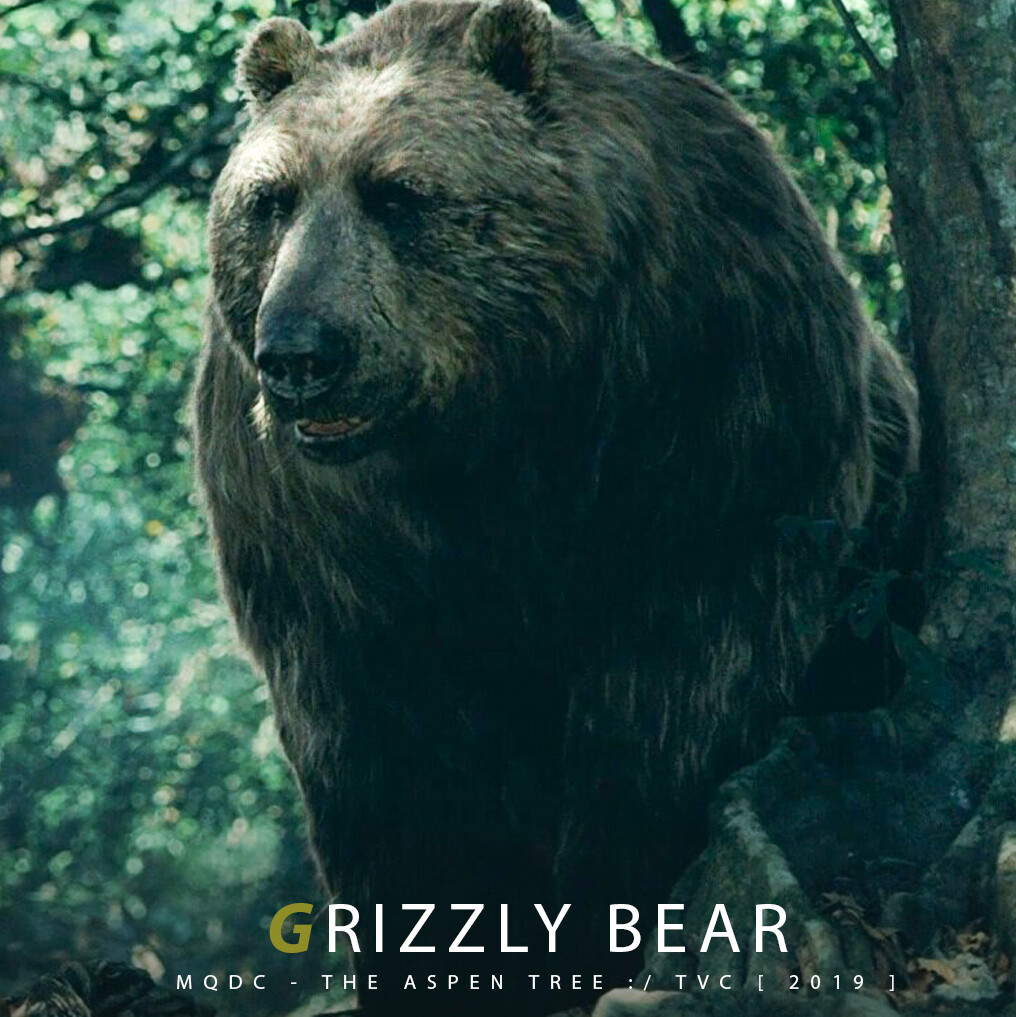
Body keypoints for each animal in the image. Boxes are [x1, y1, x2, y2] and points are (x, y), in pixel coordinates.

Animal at [193, 2, 919, 1013]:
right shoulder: (331, 545)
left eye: (399, 193)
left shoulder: (705, 403)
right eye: (272, 198)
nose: (303, 353)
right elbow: (383, 763)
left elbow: (677, 691)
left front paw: (605, 913)